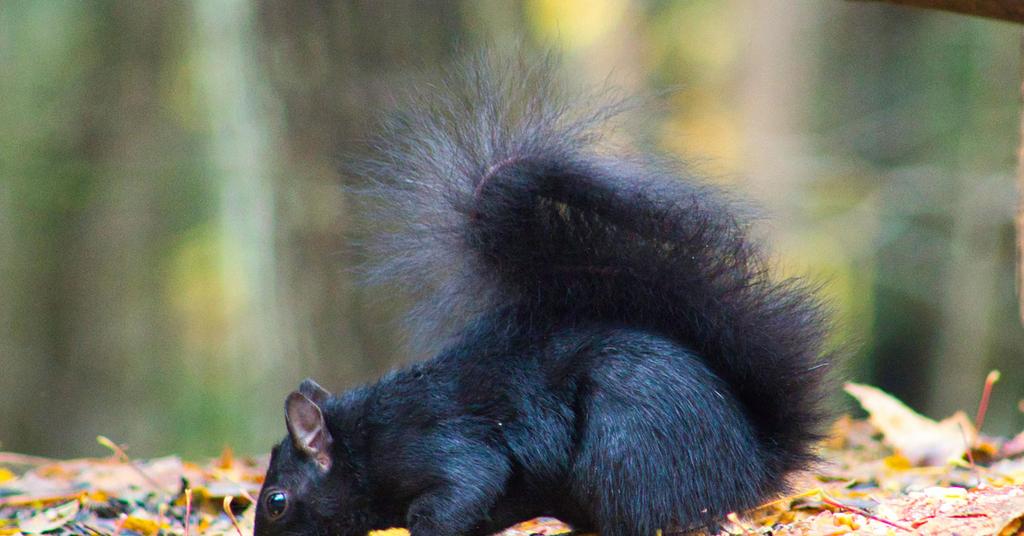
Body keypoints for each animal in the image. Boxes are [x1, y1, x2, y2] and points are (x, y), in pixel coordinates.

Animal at [254, 55, 833, 536]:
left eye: (276, 502)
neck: (365, 446)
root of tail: (750, 467)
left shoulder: (444, 446)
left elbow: (461, 490)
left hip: (629, 447)